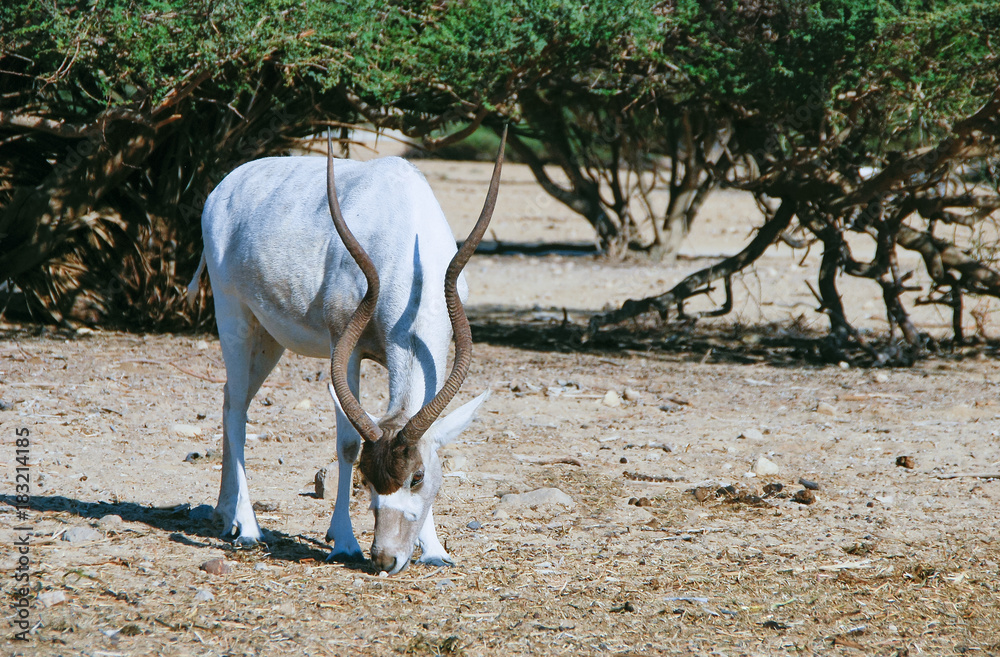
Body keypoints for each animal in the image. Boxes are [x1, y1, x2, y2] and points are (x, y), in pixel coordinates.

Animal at [190, 128, 506, 573]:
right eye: (367, 479)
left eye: (418, 476)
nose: (386, 557)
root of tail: (224, 187)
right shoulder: (345, 341)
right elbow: (347, 443)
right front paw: (344, 542)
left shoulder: (440, 352)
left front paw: (435, 550)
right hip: (232, 316)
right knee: (236, 409)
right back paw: (249, 529)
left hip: (269, 339)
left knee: (230, 398)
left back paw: (224, 513)